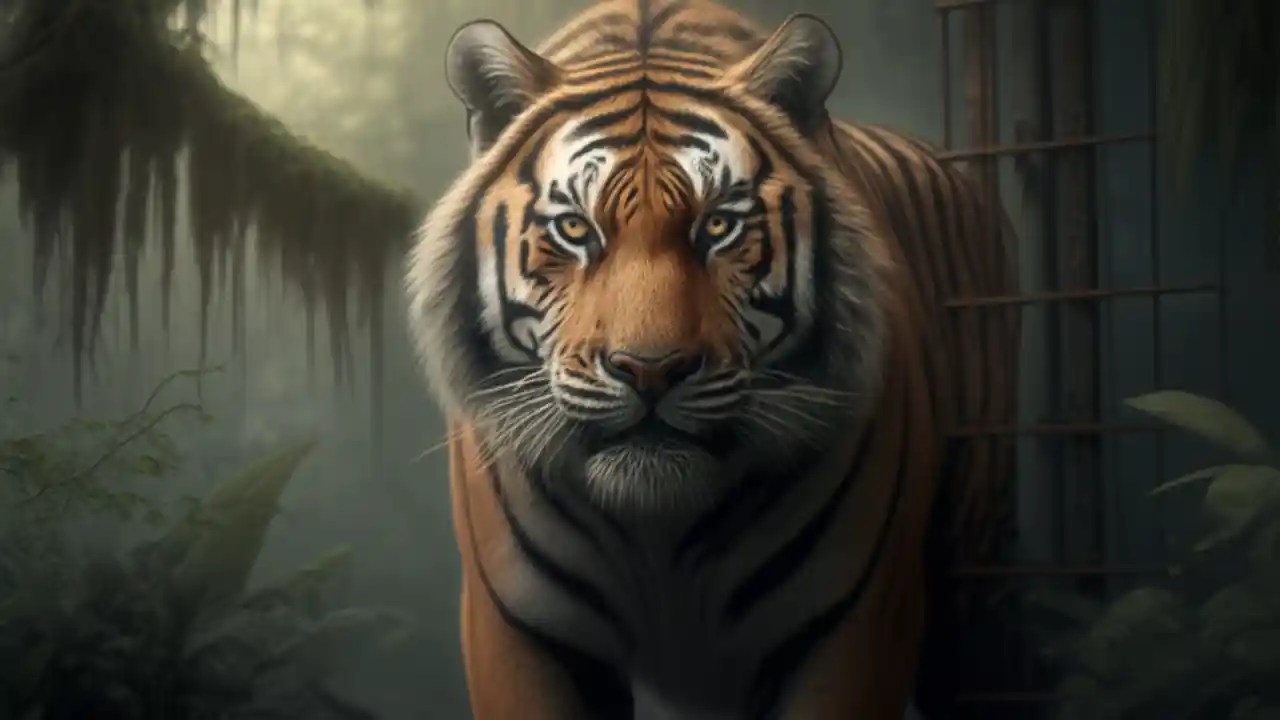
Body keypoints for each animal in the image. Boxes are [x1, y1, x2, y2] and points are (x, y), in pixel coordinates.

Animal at [404, 0, 1018, 718]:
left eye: (719, 227)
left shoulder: (857, 625)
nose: (650, 369)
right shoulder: (520, 634)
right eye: (576, 228)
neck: (661, 534)